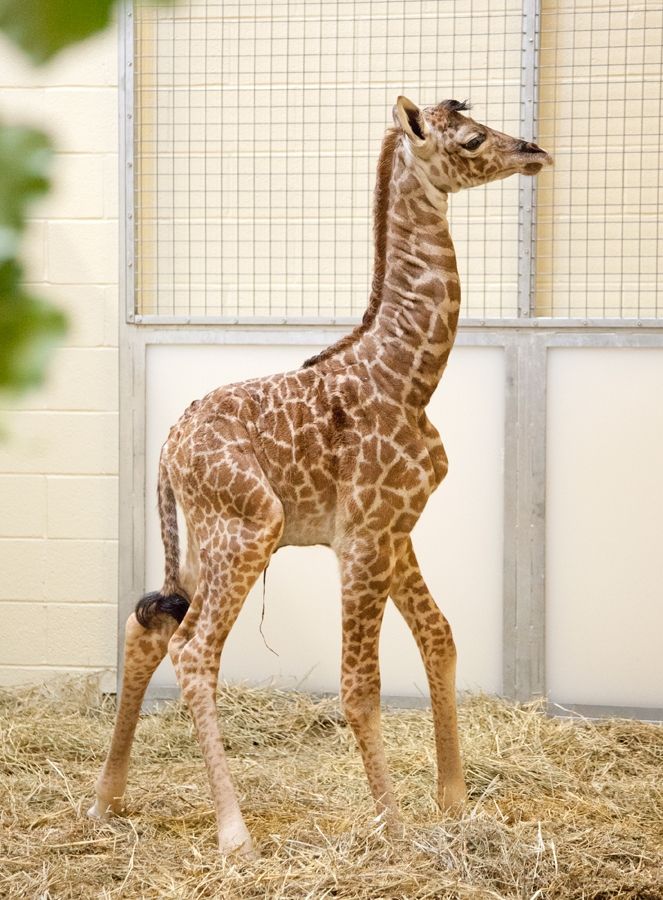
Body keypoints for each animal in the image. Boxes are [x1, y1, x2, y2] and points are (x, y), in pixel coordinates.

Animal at [90, 97, 552, 857]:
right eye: (471, 137)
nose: (534, 151)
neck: (409, 378)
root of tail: (166, 449)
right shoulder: (363, 537)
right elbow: (360, 683)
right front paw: (393, 824)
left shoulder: (394, 530)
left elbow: (440, 638)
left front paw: (453, 802)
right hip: (249, 529)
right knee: (193, 650)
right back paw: (234, 833)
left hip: (204, 538)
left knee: (148, 627)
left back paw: (106, 801)